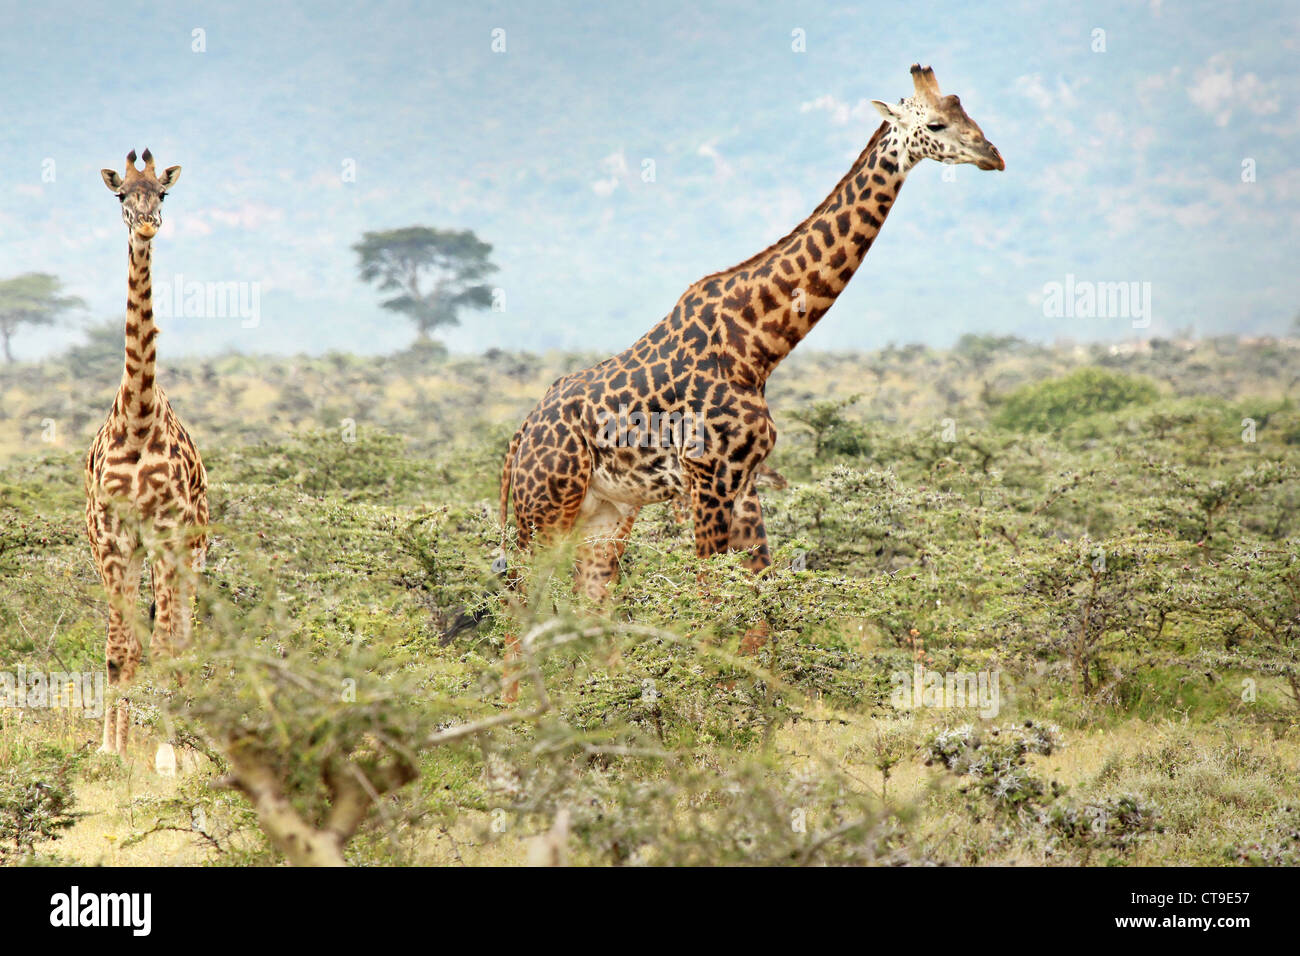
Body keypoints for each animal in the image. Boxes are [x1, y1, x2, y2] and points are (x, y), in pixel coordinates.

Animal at [498, 63, 1002, 622]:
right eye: (935, 125)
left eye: (966, 112)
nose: (993, 155)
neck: (758, 344)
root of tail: (520, 437)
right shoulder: (707, 479)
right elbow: (708, 600)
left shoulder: (743, 483)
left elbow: (758, 608)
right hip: (546, 508)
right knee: (518, 613)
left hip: (605, 514)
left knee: (583, 612)